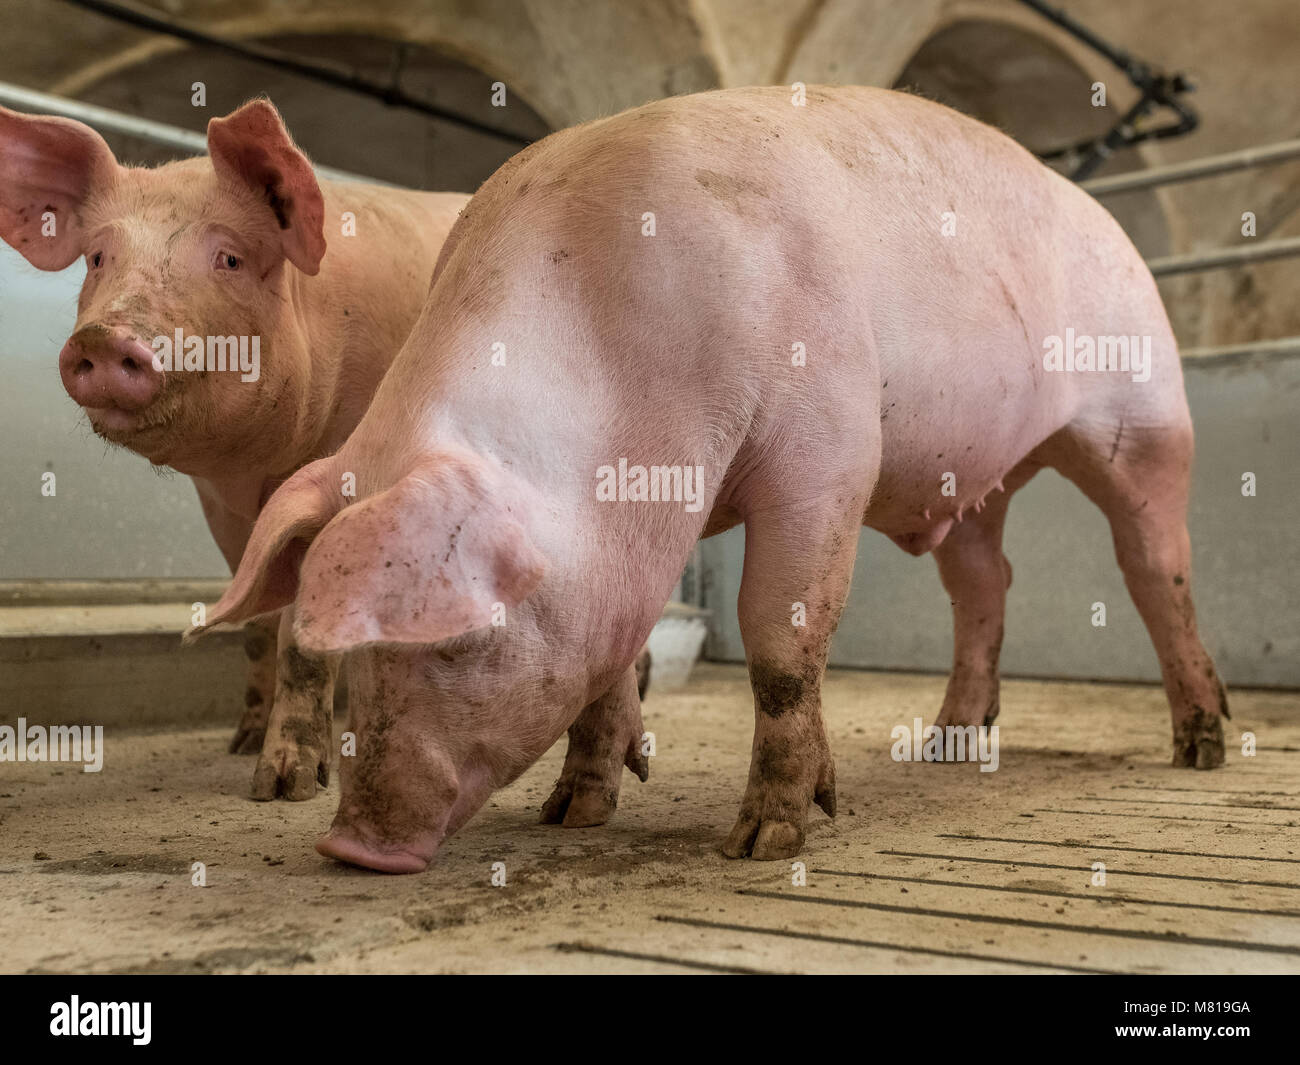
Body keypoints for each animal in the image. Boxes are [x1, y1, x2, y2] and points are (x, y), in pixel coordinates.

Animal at [0, 98, 468, 798]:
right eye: (98, 257)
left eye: (230, 259)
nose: (106, 339)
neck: (258, 471)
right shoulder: (220, 508)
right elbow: (254, 620)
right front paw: (239, 744)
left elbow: (301, 631)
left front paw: (285, 786)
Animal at [191, 85, 1228, 871]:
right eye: (349, 655)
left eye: (461, 639)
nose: (351, 846)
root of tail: (1114, 226)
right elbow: (610, 662)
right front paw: (572, 813)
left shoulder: (827, 455)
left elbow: (780, 645)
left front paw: (765, 840)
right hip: (973, 477)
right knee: (985, 579)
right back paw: (949, 744)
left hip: (1148, 409)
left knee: (1155, 563)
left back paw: (1202, 747)